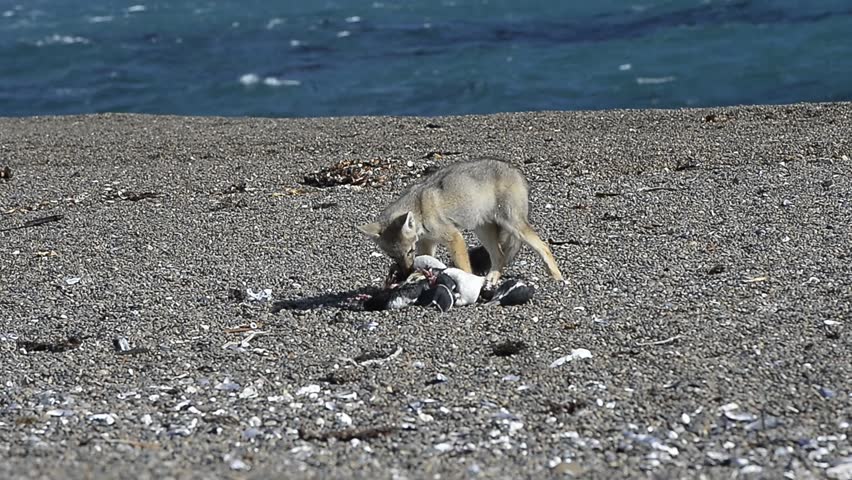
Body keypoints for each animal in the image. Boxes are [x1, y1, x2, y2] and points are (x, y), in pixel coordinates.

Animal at [357, 157, 563, 285]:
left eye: (409, 251)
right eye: (393, 256)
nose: (405, 272)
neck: (420, 209)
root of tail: (516, 171)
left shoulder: (453, 236)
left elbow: (463, 265)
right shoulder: (427, 242)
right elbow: (426, 260)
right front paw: (416, 275)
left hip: (512, 225)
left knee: (543, 246)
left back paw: (557, 276)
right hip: (483, 231)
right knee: (499, 255)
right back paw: (492, 278)